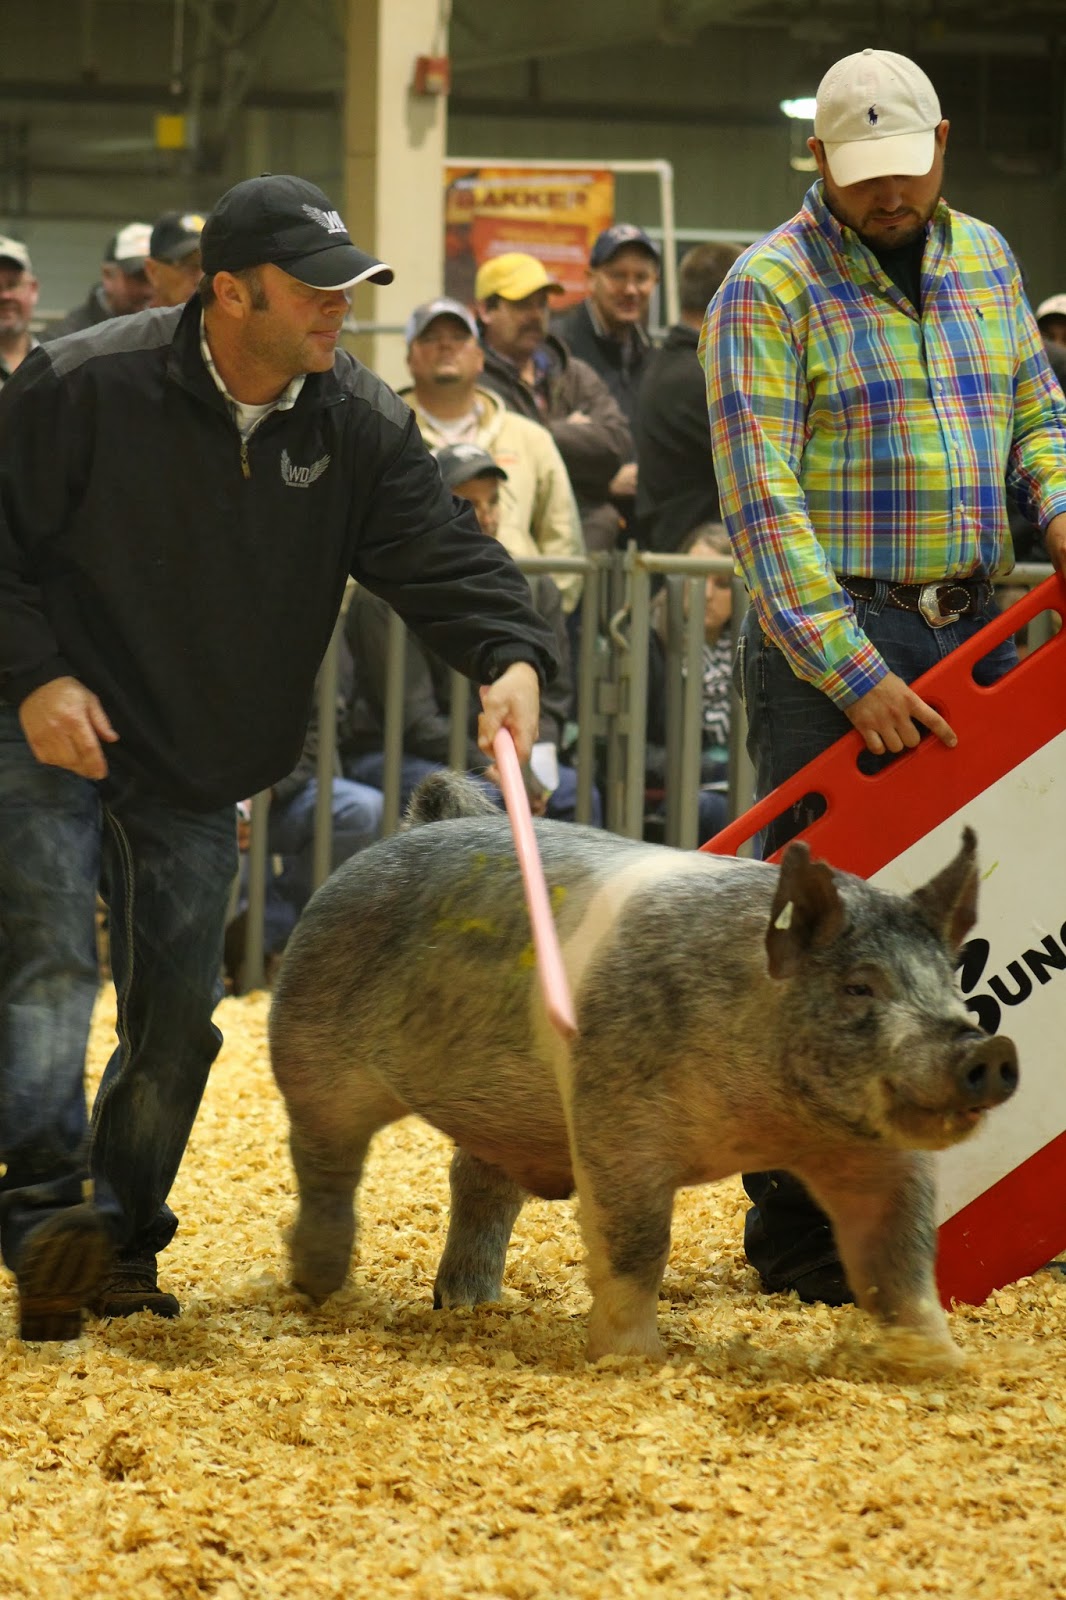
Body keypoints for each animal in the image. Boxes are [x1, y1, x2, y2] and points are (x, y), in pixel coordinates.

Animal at [269, 774, 1018, 1363]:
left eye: (951, 979)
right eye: (859, 986)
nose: (986, 1049)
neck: (765, 1122)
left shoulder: (875, 1154)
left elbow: (901, 1252)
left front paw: (942, 1364)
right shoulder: (615, 1118)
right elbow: (637, 1242)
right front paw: (635, 1360)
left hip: (505, 1115)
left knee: (476, 1183)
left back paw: (470, 1305)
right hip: (310, 1044)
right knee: (324, 1163)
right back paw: (320, 1284)